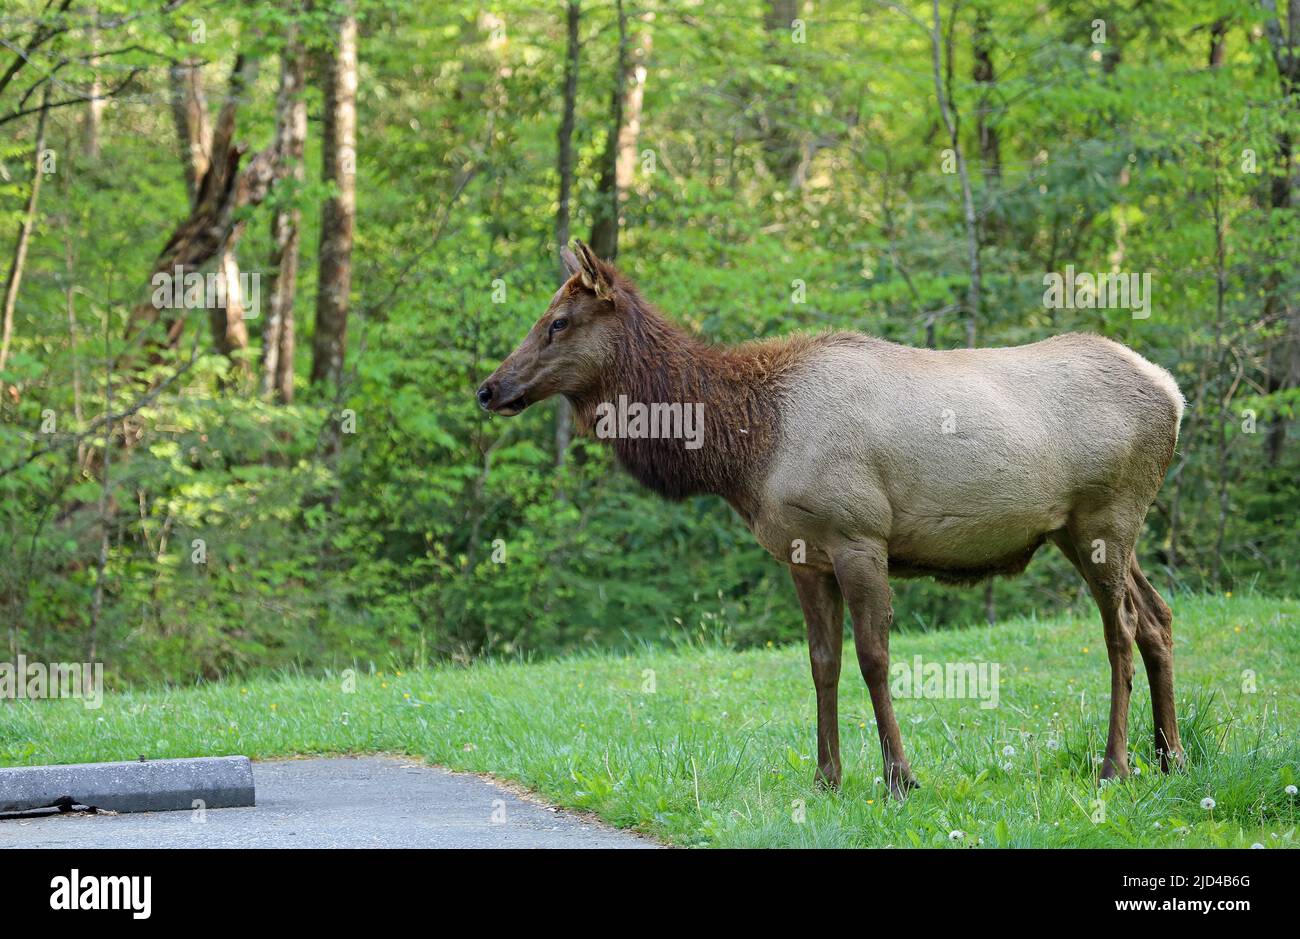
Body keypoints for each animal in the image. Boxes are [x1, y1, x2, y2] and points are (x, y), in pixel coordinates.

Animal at [477, 241, 1186, 798]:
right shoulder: (803, 555)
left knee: (1121, 628)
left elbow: (874, 657)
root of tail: (1173, 394)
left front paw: (900, 776)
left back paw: (1115, 765)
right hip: (1084, 530)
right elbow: (823, 662)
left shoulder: (859, 536)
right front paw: (827, 777)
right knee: (1157, 615)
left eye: (558, 322)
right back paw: (1170, 756)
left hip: (1105, 517)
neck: (746, 450)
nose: (488, 388)